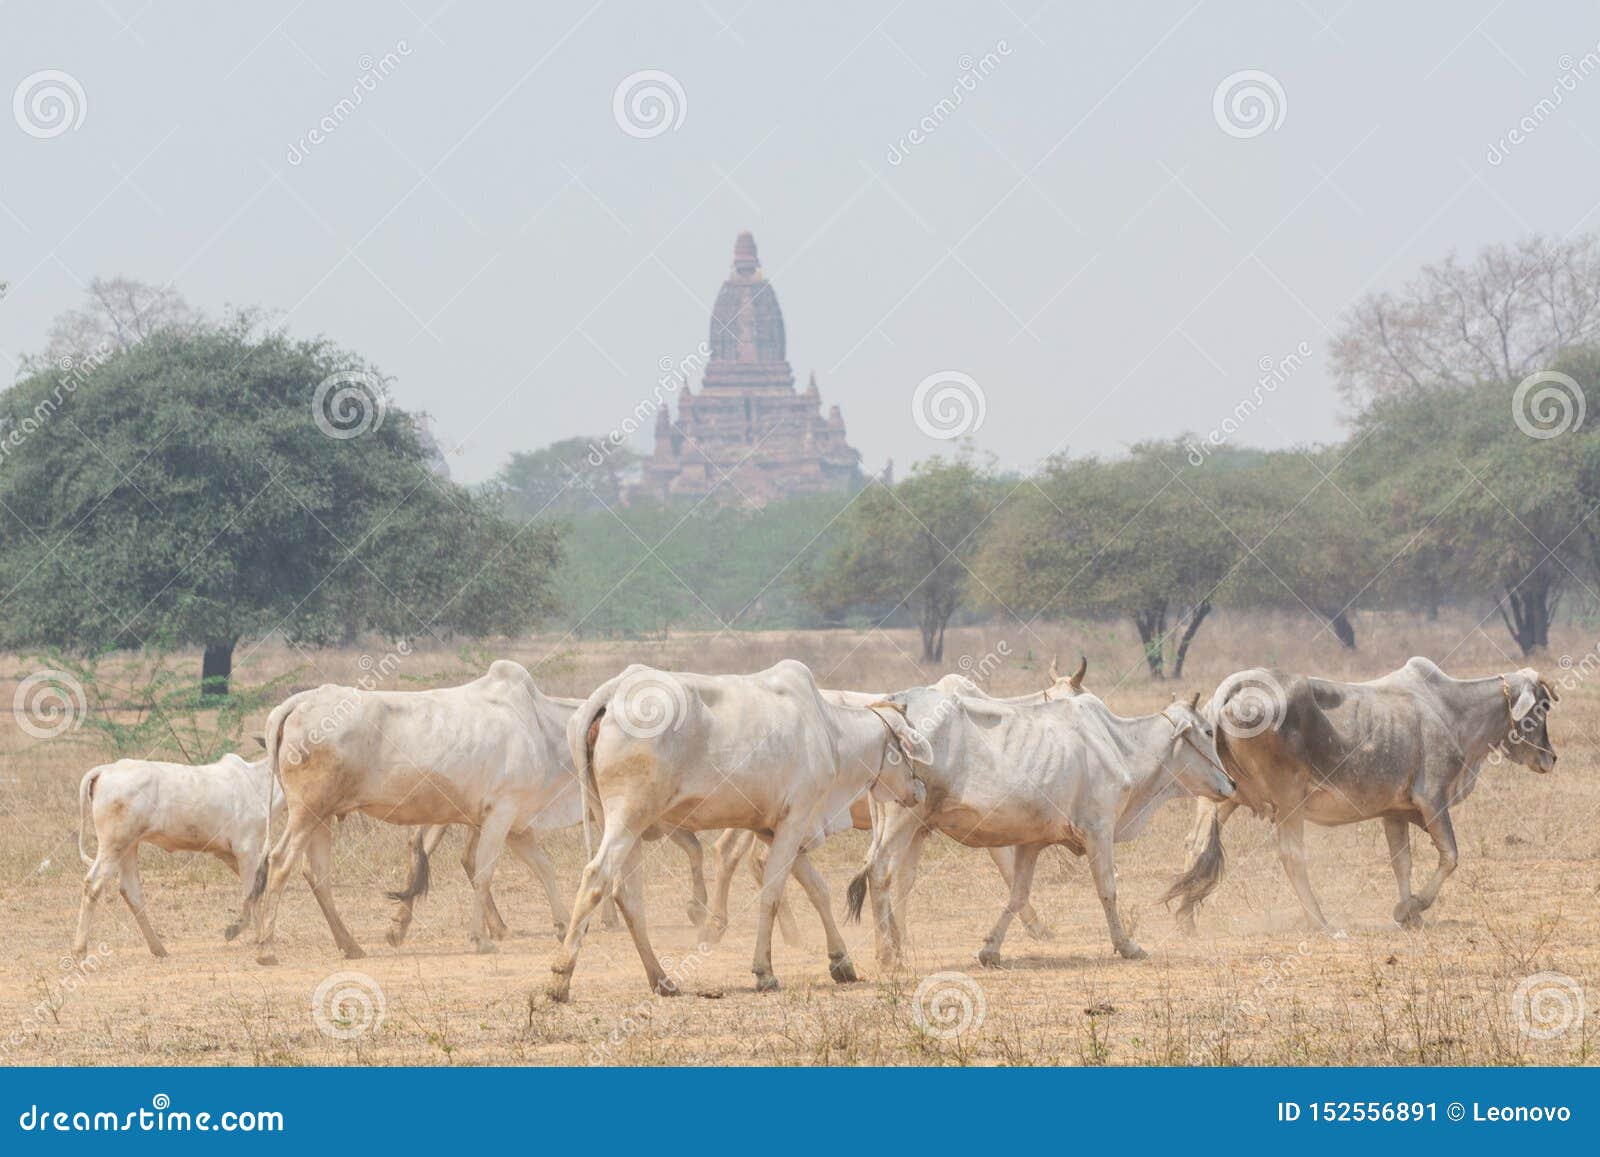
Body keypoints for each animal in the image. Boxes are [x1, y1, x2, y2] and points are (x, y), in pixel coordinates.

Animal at [74, 753, 281, 959]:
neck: (256, 780)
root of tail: (105, 770)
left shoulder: (229, 853)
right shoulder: (247, 849)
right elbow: (254, 890)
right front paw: (257, 937)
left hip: (129, 847)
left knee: (131, 892)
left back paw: (158, 948)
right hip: (113, 845)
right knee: (93, 884)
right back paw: (79, 950)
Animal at [250, 661, 605, 964]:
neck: (542, 727)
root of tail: (296, 703)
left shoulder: (515, 823)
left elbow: (544, 868)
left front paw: (564, 925)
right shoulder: (502, 811)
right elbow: (484, 872)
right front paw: (481, 939)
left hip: (320, 817)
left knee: (317, 874)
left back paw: (351, 946)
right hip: (306, 812)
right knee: (280, 862)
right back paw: (267, 949)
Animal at [546, 660, 931, 1001]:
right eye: (908, 749)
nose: (920, 790)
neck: (829, 732)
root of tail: (610, 694)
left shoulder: (771, 828)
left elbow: (818, 890)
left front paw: (841, 962)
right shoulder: (795, 820)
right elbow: (772, 893)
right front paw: (765, 972)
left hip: (620, 824)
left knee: (628, 896)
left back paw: (662, 979)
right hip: (627, 817)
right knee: (596, 877)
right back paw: (561, 979)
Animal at [846, 688, 1234, 966]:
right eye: (1208, 730)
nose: (1231, 783)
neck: (1120, 745)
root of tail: (892, 707)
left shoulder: (1031, 843)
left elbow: (1018, 895)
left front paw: (989, 950)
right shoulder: (1099, 829)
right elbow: (1108, 890)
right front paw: (1128, 945)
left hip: (911, 826)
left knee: (899, 881)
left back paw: (899, 946)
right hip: (902, 817)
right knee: (879, 872)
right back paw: (887, 955)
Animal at [1163, 659, 1558, 936]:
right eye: (1543, 706)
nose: (1551, 758)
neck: (1454, 710)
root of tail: (1230, 689)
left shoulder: (1394, 812)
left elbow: (1402, 862)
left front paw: (1408, 912)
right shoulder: (1433, 799)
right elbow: (1450, 856)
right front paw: (1413, 907)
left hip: (1218, 795)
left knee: (1195, 843)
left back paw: (1185, 918)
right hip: (1289, 801)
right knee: (1292, 857)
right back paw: (1320, 921)